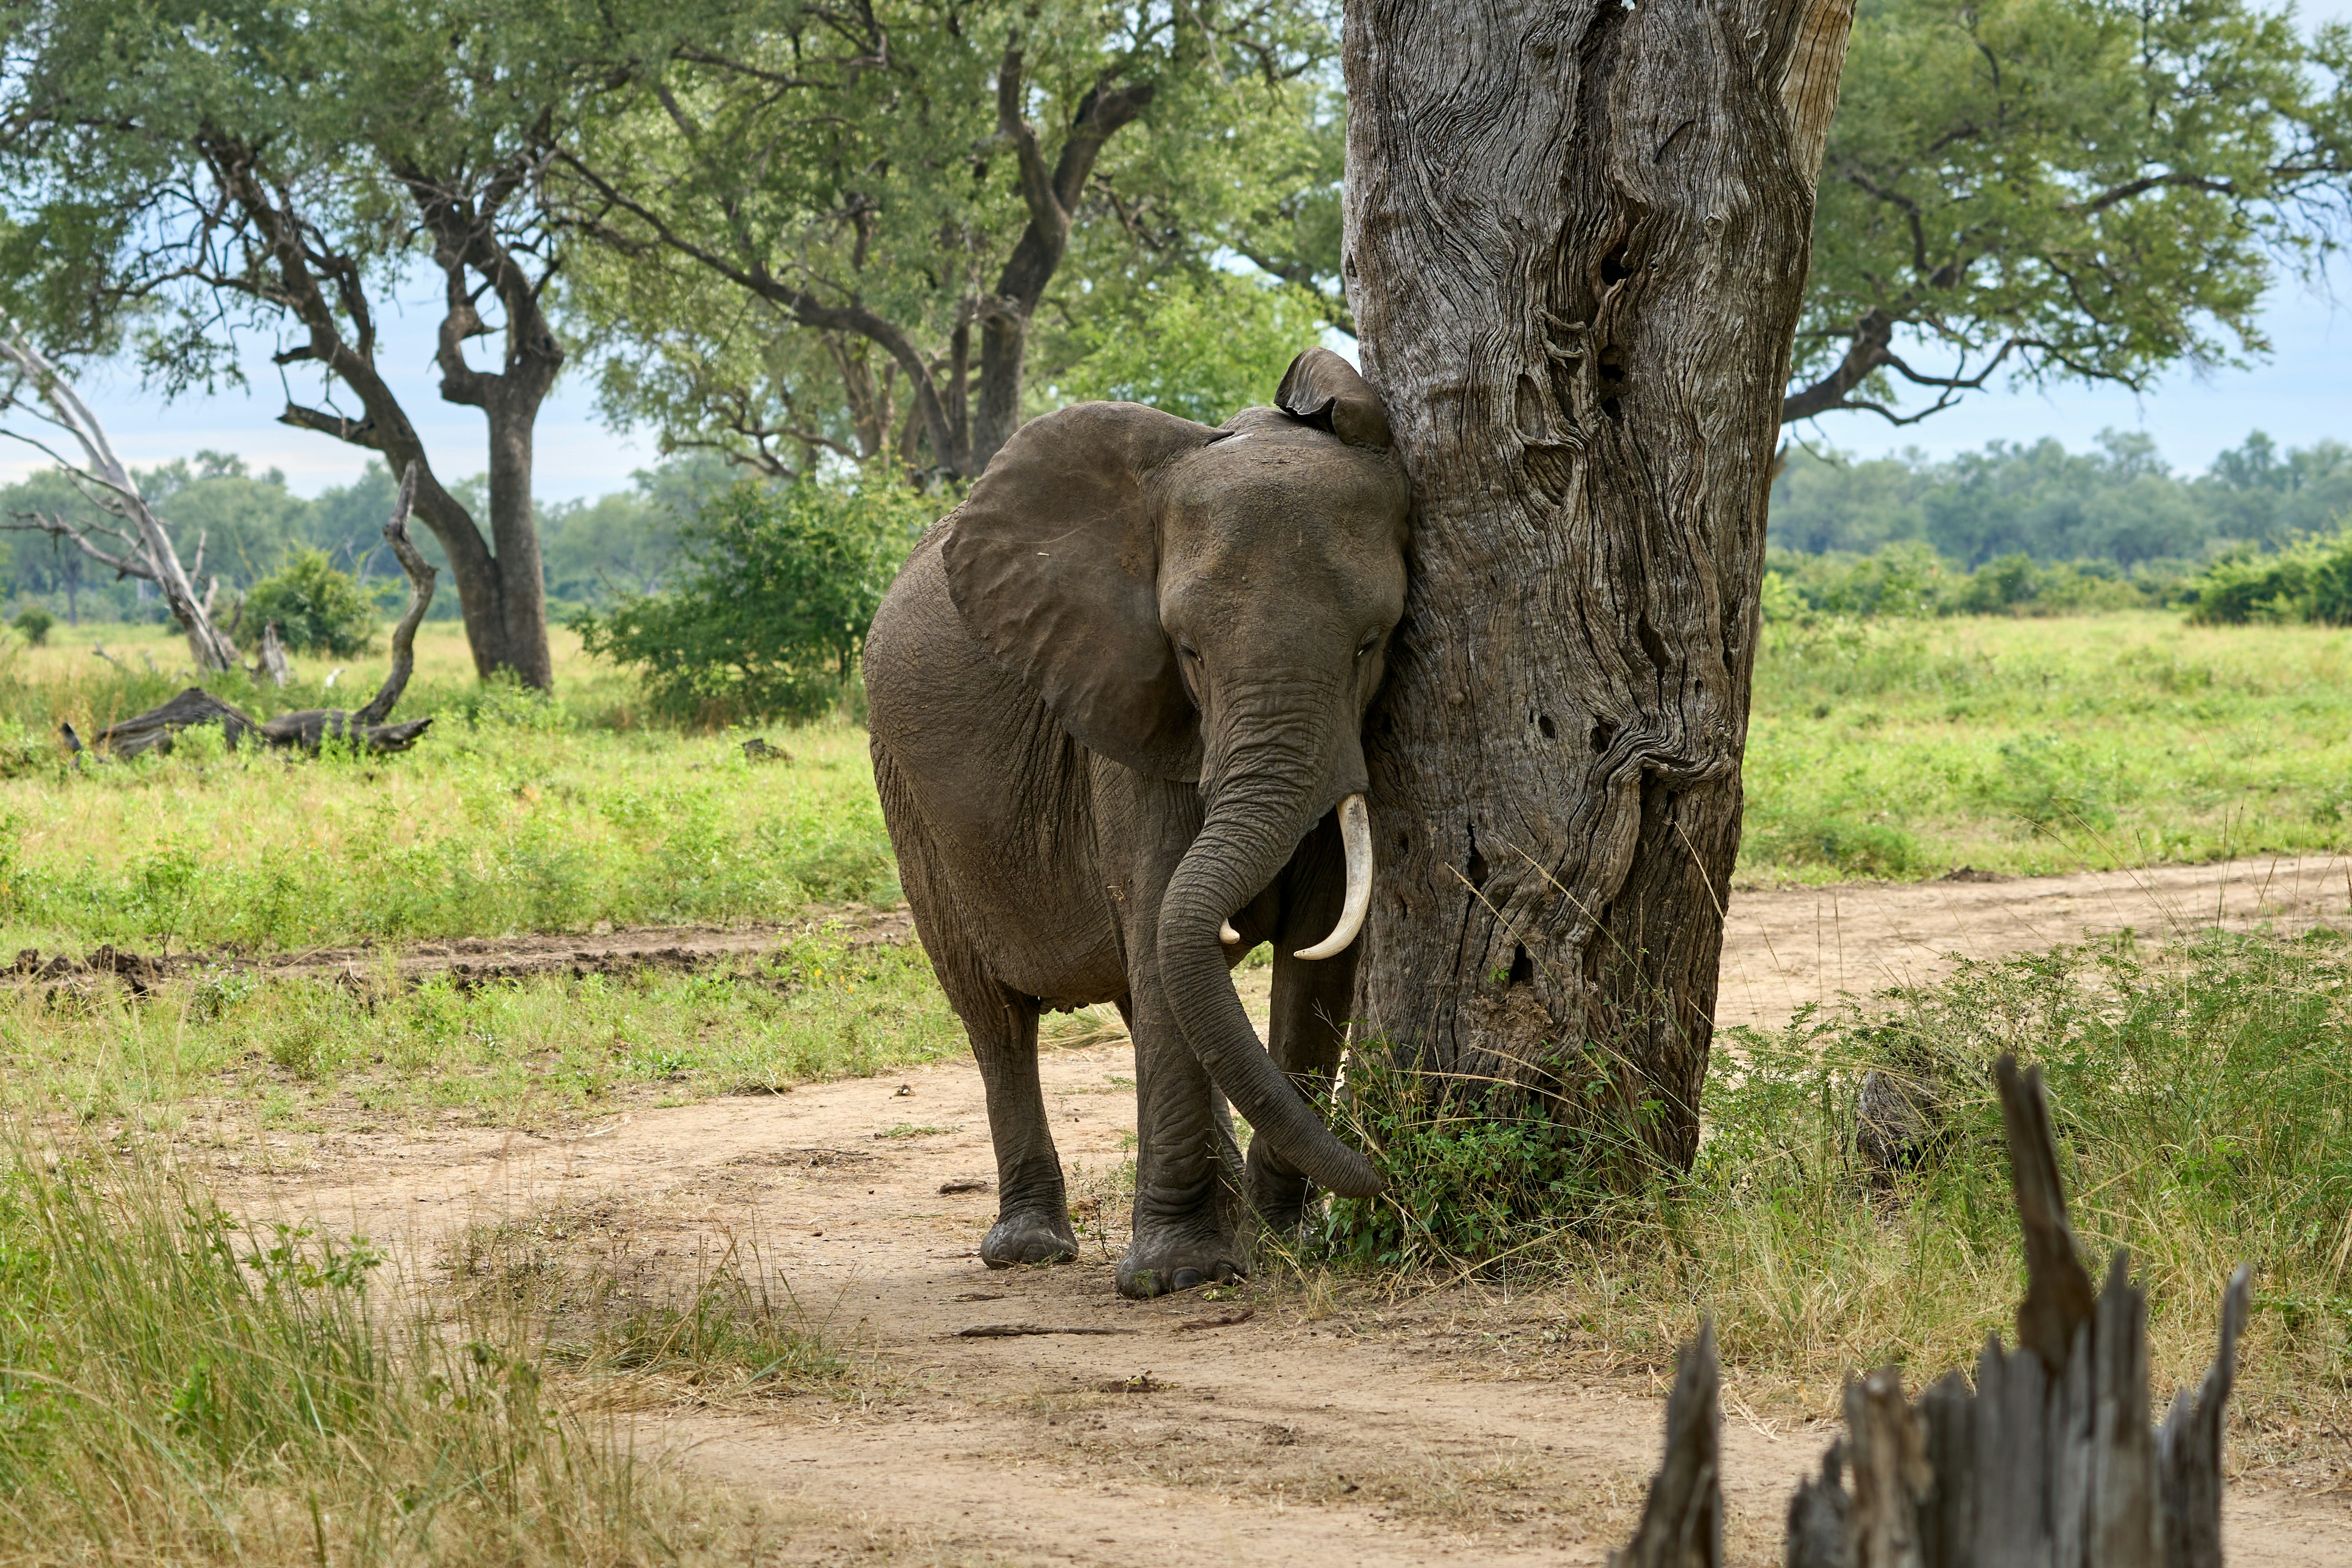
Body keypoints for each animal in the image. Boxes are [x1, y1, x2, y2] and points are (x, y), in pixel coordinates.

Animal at [863, 348, 1410, 1299]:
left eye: (1369, 644)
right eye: (1186, 650)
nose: (1386, 1178)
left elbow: (1318, 951)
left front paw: (1282, 1238)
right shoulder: (1129, 723)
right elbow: (1163, 922)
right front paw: (1178, 1274)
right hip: (907, 798)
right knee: (994, 1017)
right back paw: (1029, 1248)